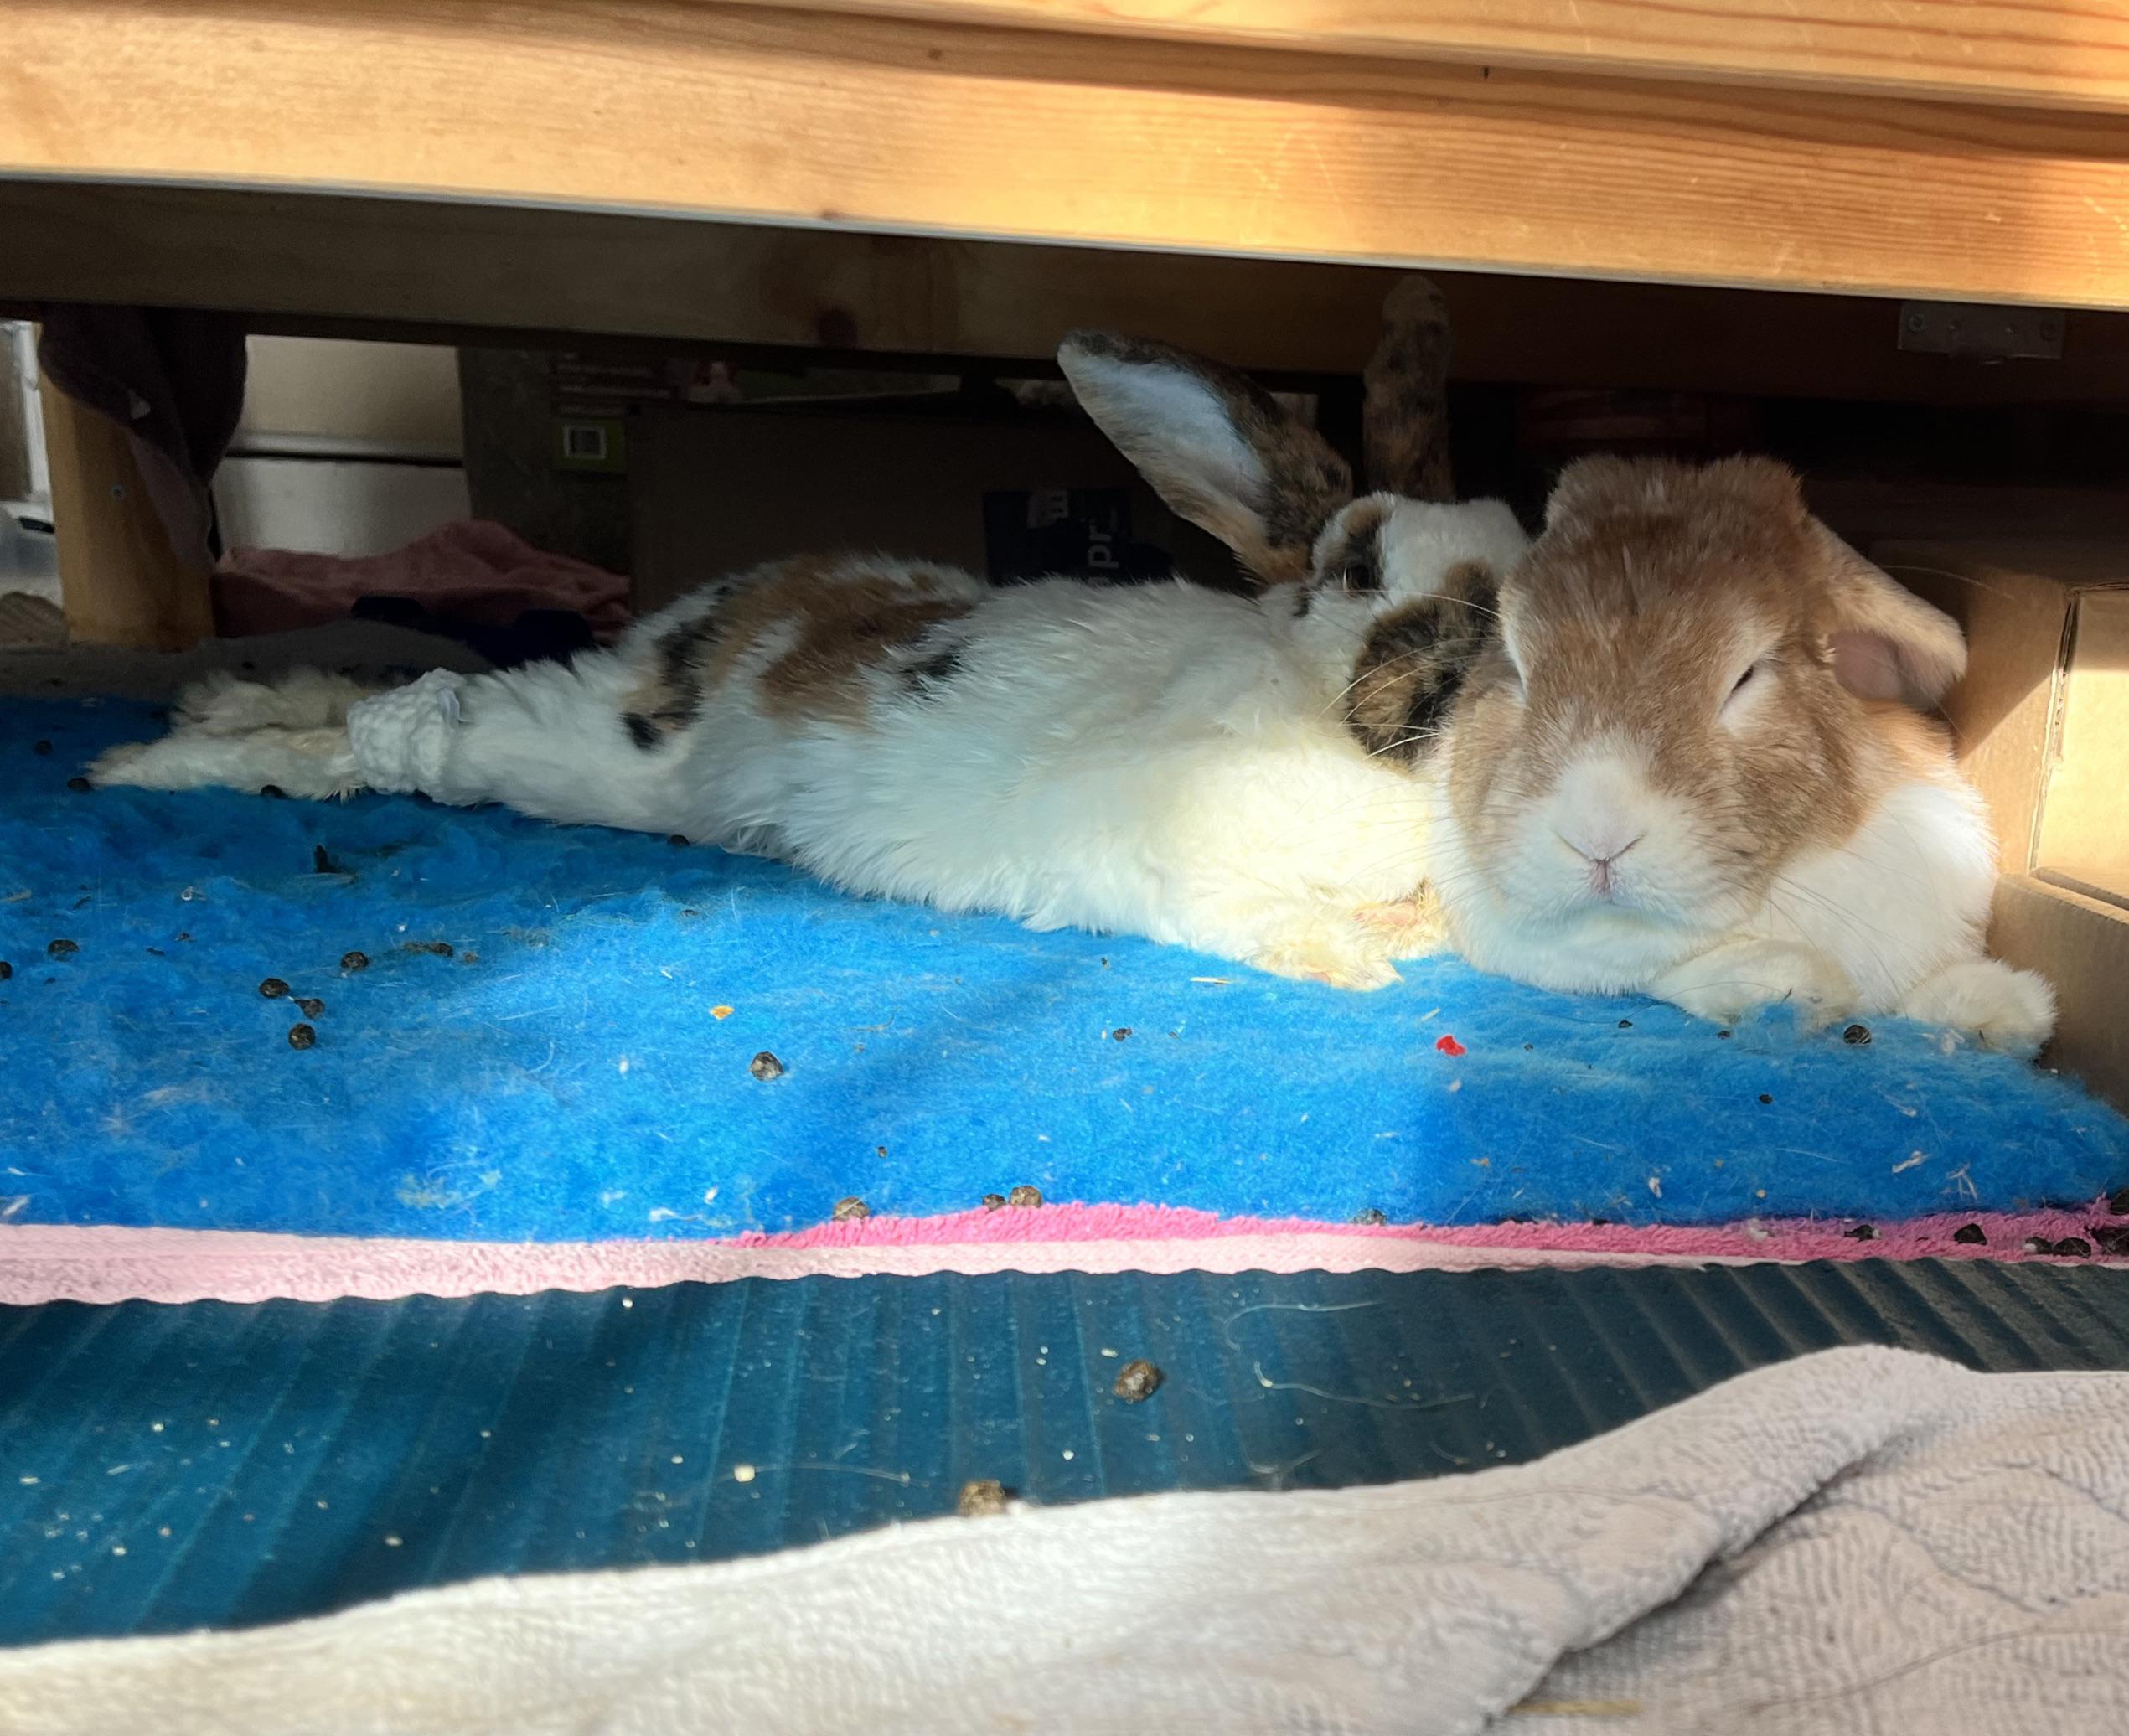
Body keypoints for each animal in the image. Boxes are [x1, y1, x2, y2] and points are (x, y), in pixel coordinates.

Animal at [90, 285, 1528, 992]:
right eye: (1355, 567)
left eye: (1530, 547)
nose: (1471, 663)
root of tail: (731, 610)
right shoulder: (1164, 860)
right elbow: (1248, 913)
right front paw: (1351, 965)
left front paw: (1404, 940)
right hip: (584, 756)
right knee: (406, 730)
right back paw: (150, 767)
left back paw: (200, 717)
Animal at [1419, 453, 2057, 1055]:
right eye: (1515, 665)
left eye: (1745, 677)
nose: (1597, 836)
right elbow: (1672, 974)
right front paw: (1794, 987)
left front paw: (2006, 1007)